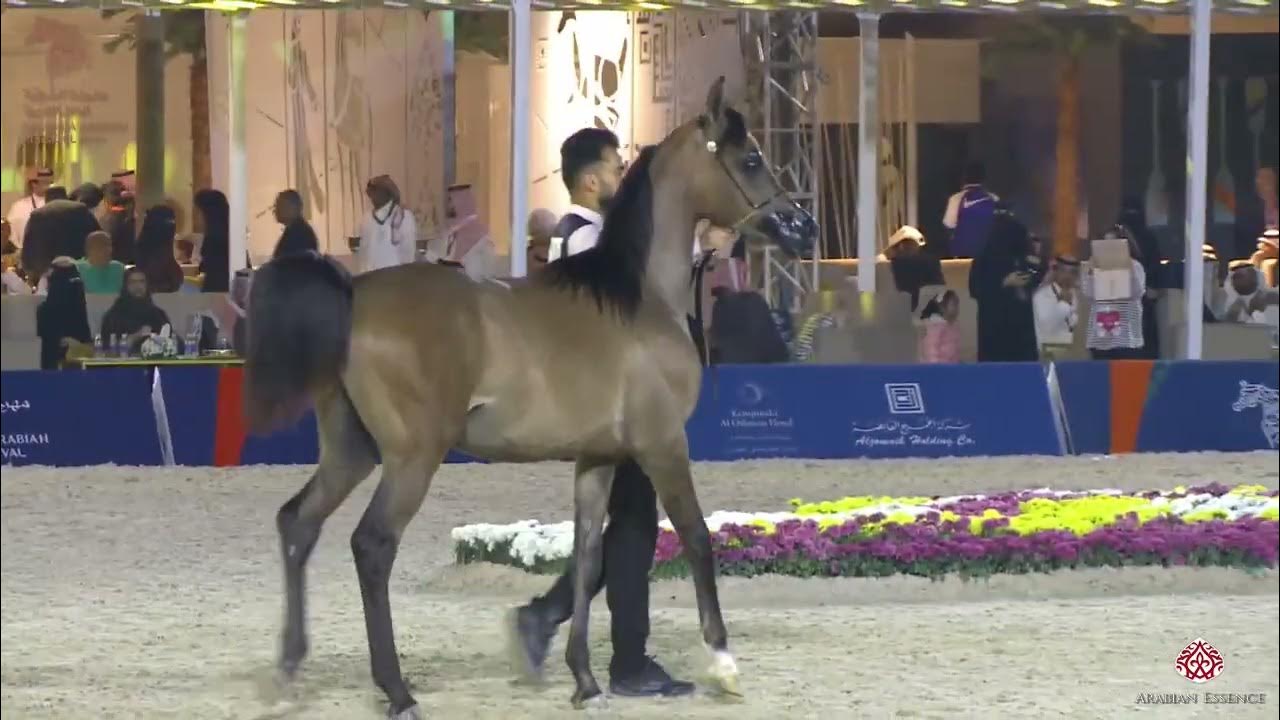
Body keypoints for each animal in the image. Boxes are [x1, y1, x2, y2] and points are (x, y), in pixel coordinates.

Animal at [243, 77, 817, 718]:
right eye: (751, 159)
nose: (803, 227)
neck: (637, 298)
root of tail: (353, 291)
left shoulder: (599, 458)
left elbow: (588, 555)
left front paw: (584, 678)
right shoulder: (664, 445)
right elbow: (695, 537)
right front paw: (723, 663)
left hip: (351, 449)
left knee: (299, 523)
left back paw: (288, 670)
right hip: (412, 458)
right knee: (372, 546)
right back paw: (397, 691)